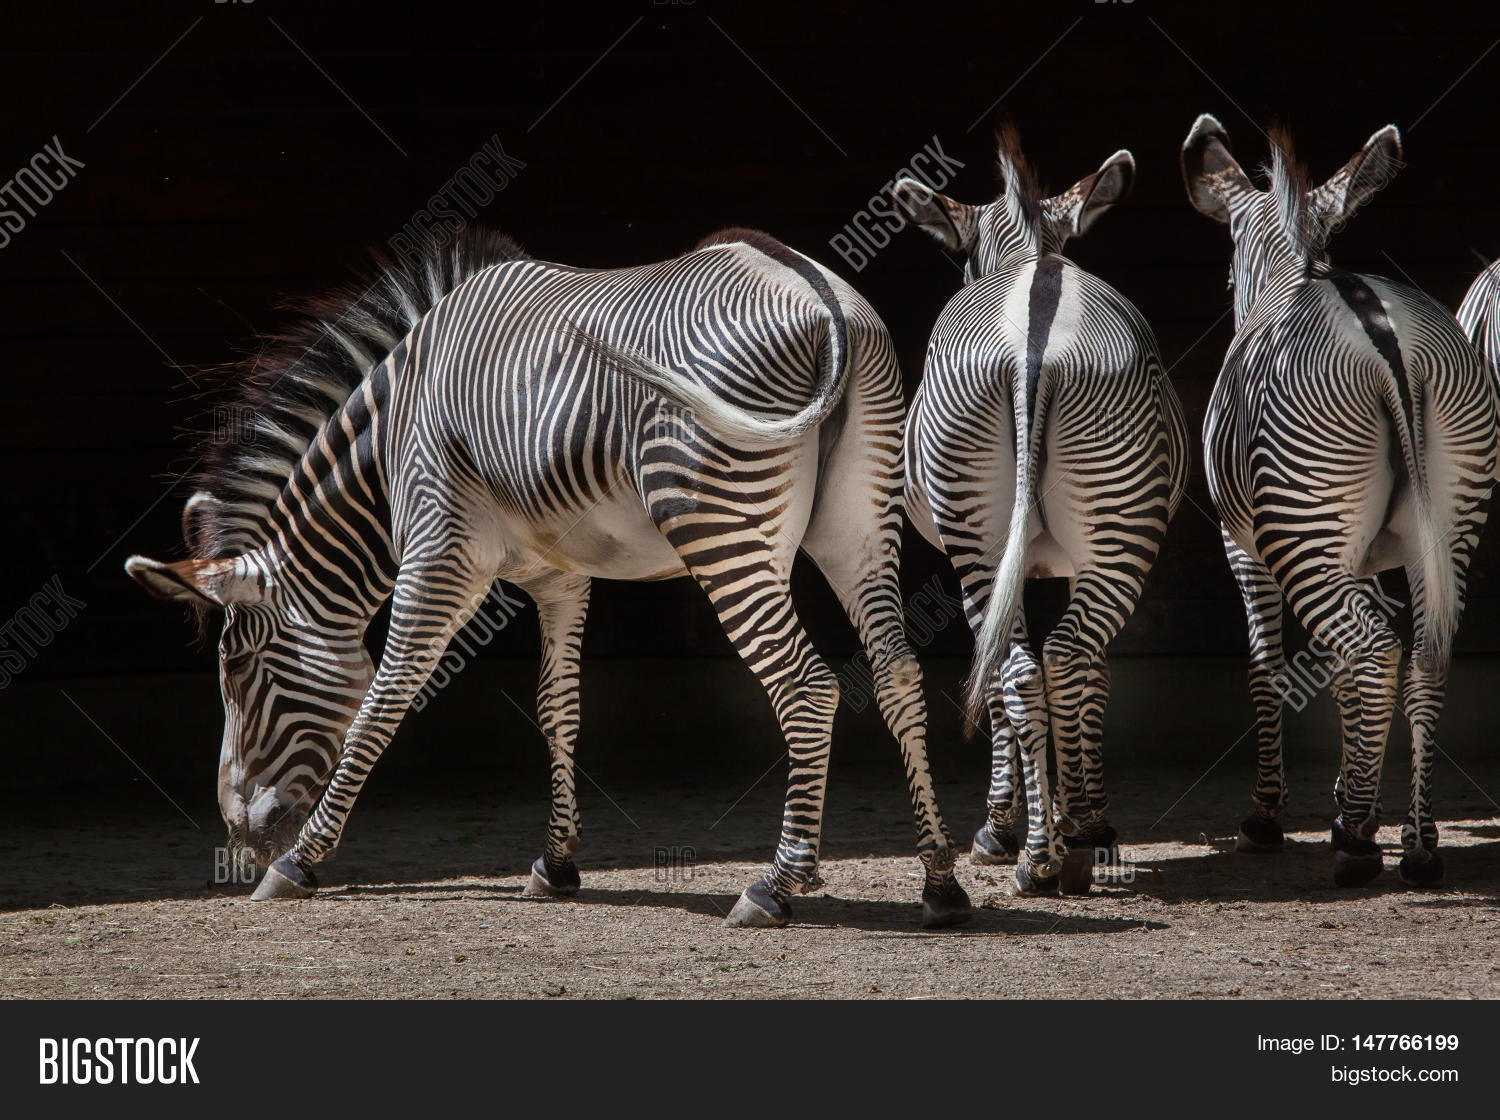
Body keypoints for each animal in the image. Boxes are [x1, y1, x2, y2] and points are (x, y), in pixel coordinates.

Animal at [125, 225, 974, 929]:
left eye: (237, 668)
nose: (238, 837)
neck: (392, 437)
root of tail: (826, 300)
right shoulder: (560, 577)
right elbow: (557, 707)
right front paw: (557, 863)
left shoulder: (439, 553)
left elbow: (381, 700)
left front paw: (301, 863)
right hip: (859, 524)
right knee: (897, 673)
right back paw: (940, 881)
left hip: (720, 525)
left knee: (806, 687)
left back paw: (775, 885)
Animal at [893, 128, 1189, 895]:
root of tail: (1035, 318)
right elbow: (1085, 679)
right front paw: (1072, 815)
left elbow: (1010, 680)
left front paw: (1013, 823)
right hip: (1103, 529)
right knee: (1059, 659)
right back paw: (1057, 845)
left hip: (988, 534)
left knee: (1032, 666)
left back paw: (1041, 850)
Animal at [1181, 115, 1497, 886]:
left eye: (1227, 275)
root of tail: (1387, 337)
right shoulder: (1367, 552)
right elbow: (1344, 681)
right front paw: (1357, 800)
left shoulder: (1245, 549)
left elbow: (1268, 670)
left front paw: (1275, 817)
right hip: (1447, 520)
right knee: (1423, 658)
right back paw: (1418, 842)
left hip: (1302, 526)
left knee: (1376, 651)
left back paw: (1357, 846)